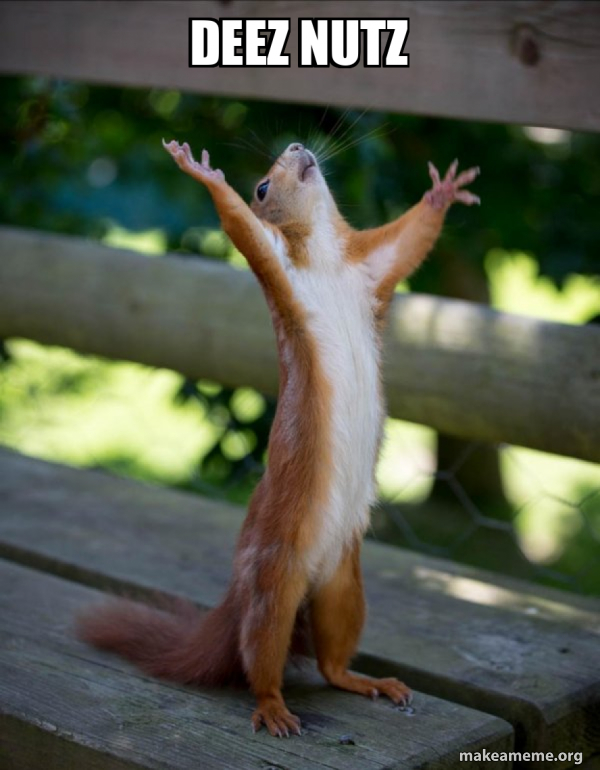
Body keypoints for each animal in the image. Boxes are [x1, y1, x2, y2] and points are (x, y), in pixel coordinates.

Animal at [77, 138, 480, 738]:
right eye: (262, 186)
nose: (296, 147)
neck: (327, 257)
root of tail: (239, 595)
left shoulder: (372, 267)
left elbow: (409, 240)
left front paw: (443, 192)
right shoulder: (277, 266)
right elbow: (240, 226)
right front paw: (204, 174)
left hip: (344, 586)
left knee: (332, 661)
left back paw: (368, 681)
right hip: (273, 585)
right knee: (260, 658)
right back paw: (273, 708)